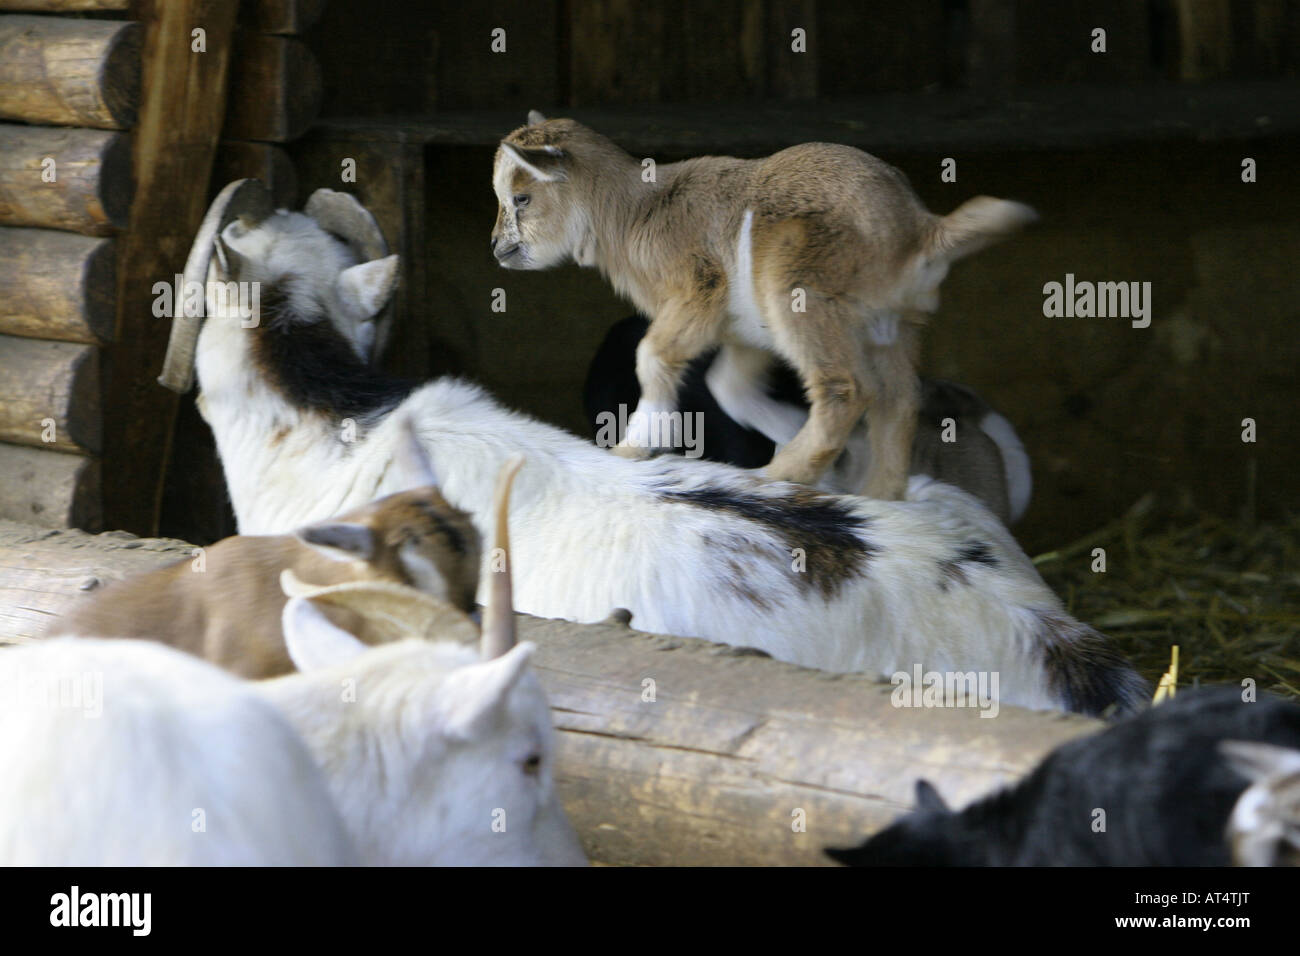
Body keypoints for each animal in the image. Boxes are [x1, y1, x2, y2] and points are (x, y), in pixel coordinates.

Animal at [491, 111, 1036, 502]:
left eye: (522, 198)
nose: (496, 247)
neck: (633, 213)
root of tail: (920, 231)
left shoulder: (696, 289)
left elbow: (652, 355)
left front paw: (635, 444)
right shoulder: (744, 332)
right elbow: (726, 386)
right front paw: (792, 434)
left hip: (800, 290)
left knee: (847, 390)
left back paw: (780, 476)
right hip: (889, 327)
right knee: (898, 399)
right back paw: (877, 491)